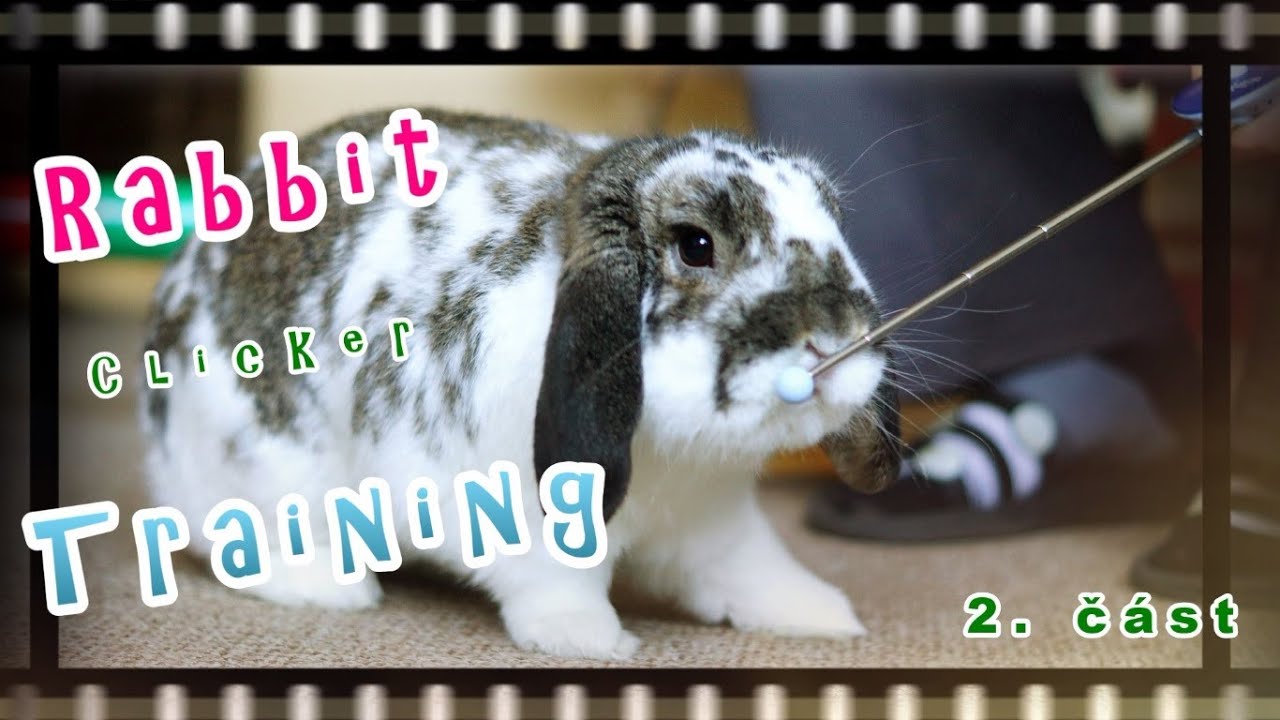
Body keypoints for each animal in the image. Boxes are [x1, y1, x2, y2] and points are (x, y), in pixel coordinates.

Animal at [138, 107, 901, 660]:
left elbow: (749, 568)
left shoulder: (716, 519)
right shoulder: (532, 524)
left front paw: (818, 613)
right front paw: (591, 640)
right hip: (266, 471)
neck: (671, 462)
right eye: (695, 245)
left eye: (835, 226)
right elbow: (560, 585)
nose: (836, 338)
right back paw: (331, 587)